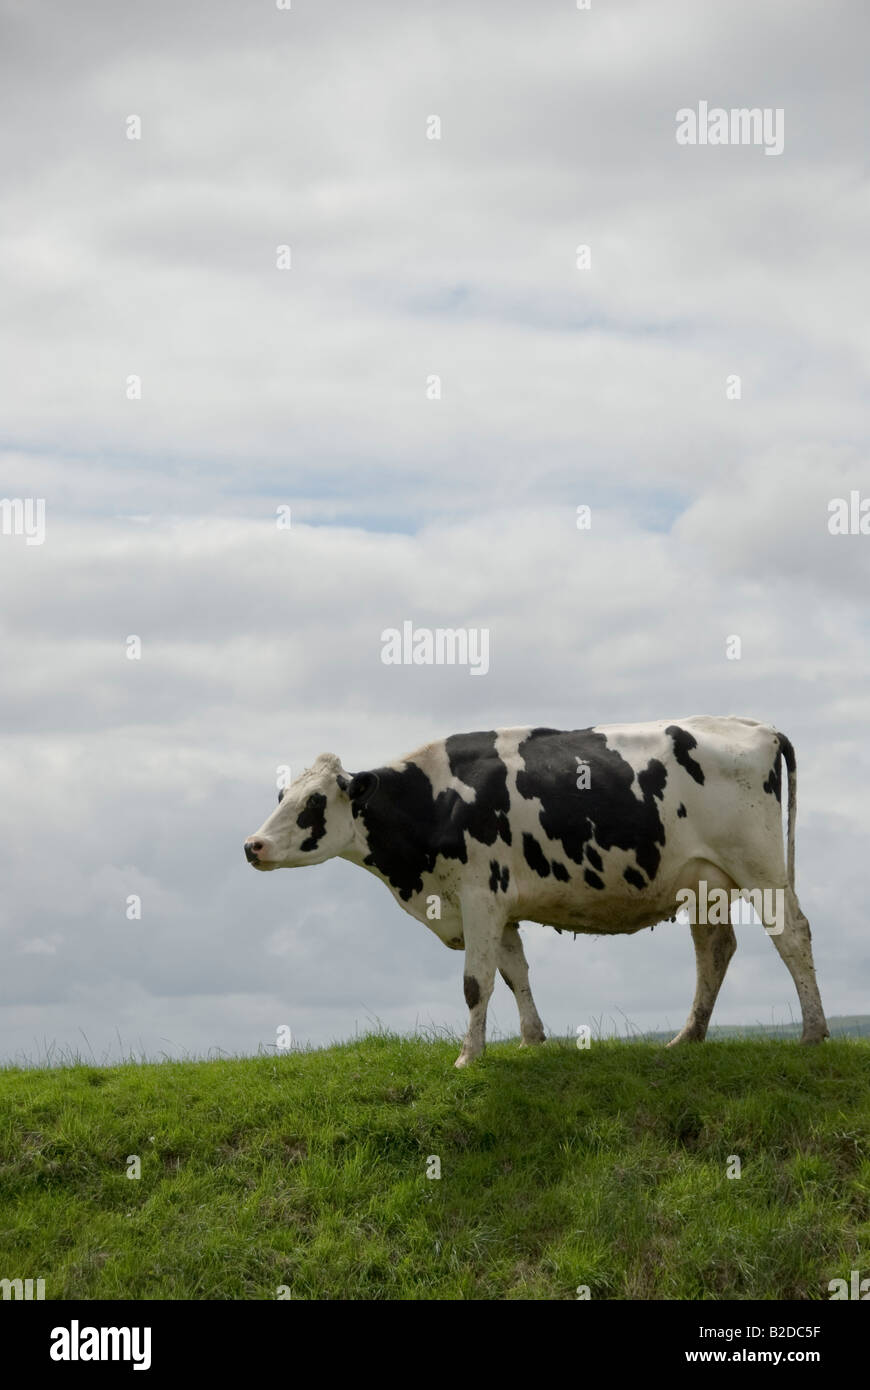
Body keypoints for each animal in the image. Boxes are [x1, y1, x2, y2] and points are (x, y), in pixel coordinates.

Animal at [243, 717, 829, 1067]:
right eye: (281, 794)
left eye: (314, 802)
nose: (253, 845)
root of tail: (756, 726)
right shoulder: (497, 906)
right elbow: (514, 972)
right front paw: (531, 1039)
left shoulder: (479, 896)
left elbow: (475, 983)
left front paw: (468, 1058)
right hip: (704, 882)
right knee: (715, 950)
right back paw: (688, 1037)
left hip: (760, 865)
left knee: (793, 935)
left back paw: (813, 1034)